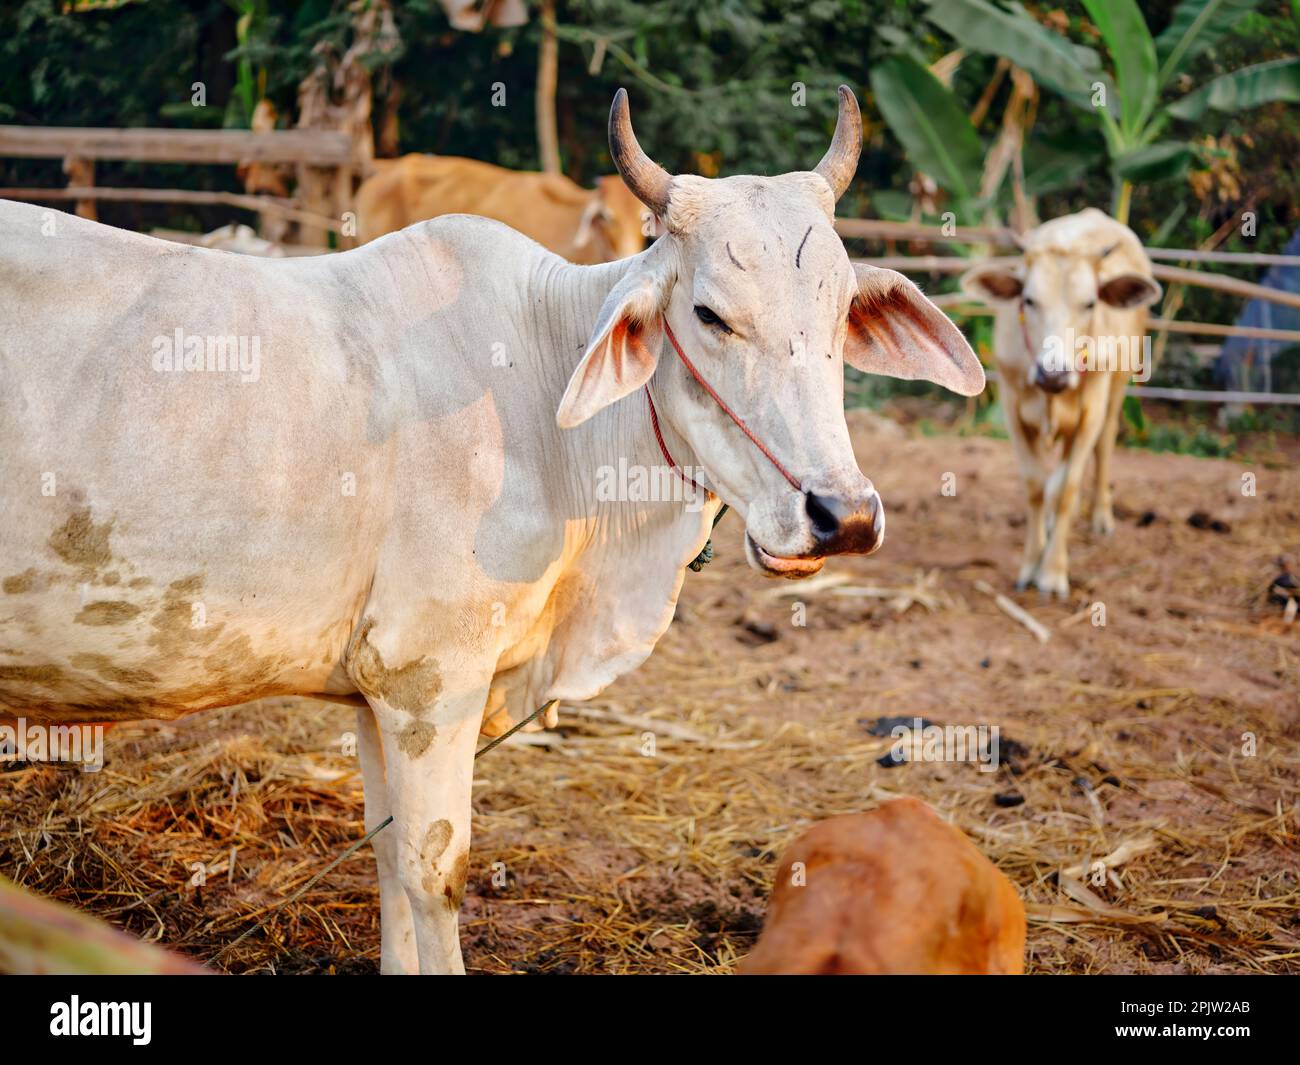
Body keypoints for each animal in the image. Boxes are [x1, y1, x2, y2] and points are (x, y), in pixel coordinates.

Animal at [960, 209, 1160, 598]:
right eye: (1028, 300)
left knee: (1103, 448)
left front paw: (1052, 572)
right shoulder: (1012, 408)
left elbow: (1067, 487)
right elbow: (1037, 486)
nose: (1053, 374)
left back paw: (1100, 514)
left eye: (1090, 303)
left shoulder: (1091, 410)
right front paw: (1031, 563)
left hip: (1116, 391)